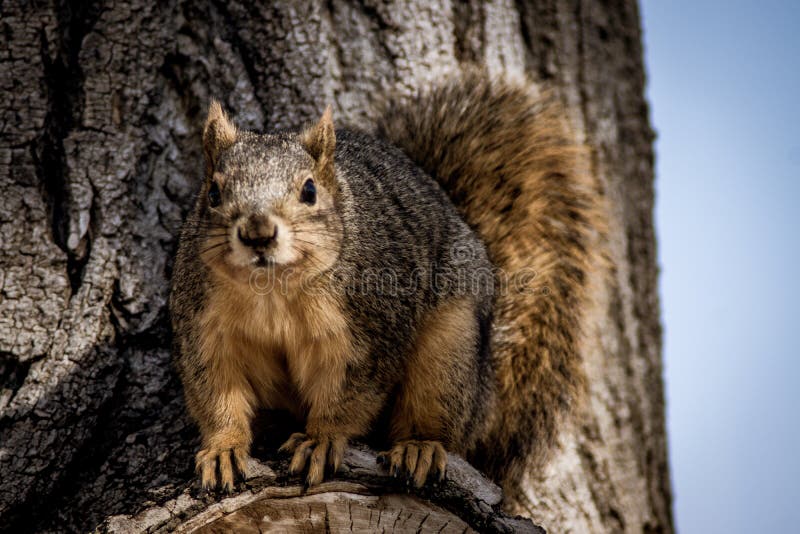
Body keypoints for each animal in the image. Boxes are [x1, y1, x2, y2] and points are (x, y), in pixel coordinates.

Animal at [169, 69, 602, 500]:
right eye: (213, 192)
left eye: (309, 190)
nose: (258, 233)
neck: (273, 287)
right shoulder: (204, 329)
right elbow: (216, 393)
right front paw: (224, 449)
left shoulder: (372, 329)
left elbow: (348, 396)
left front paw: (321, 440)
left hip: (450, 352)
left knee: (439, 420)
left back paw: (419, 448)